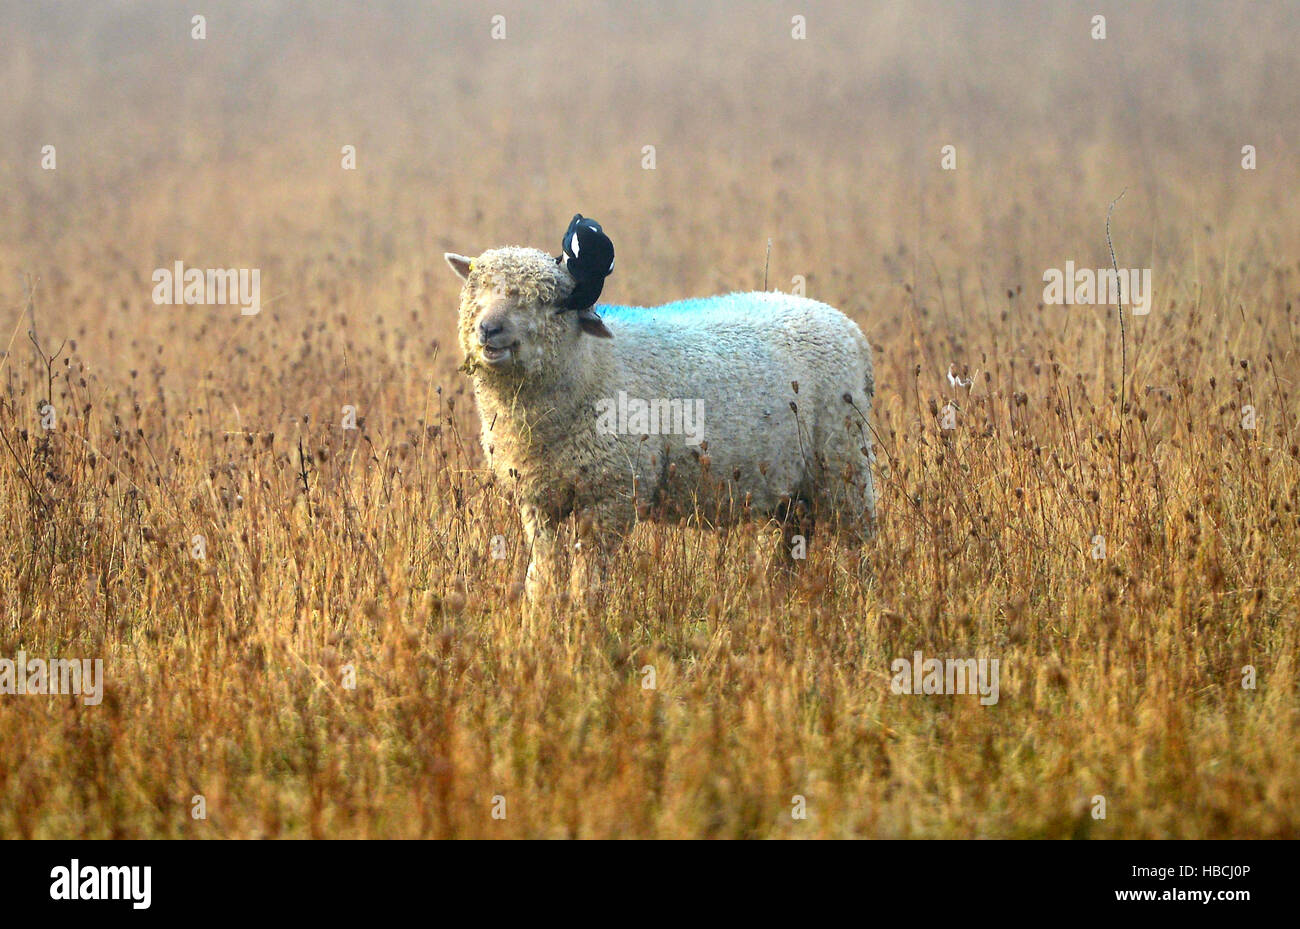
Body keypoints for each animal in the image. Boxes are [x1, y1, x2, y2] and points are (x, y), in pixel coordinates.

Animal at [444, 246, 876, 602]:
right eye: (477, 288)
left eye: (549, 303)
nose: (489, 329)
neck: (589, 365)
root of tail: (848, 327)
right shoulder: (537, 498)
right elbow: (543, 575)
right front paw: (539, 626)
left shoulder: (612, 494)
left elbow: (587, 581)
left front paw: (582, 630)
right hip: (790, 486)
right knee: (791, 541)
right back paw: (778, 594)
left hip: (844, 463)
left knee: (859, 541)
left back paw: (864, 599)